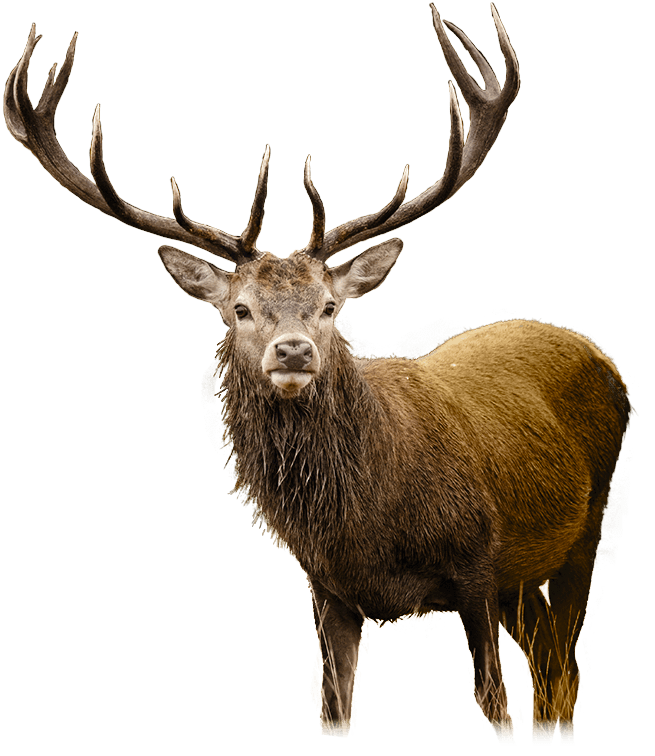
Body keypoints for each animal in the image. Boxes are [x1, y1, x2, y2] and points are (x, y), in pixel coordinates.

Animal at [6, 4, 633, 745]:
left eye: (331, 306)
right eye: (239, 308)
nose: (294, 351)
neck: (367, 525)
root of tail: (601, 359)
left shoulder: (479, 564)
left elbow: (492, 705)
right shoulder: (327, 589)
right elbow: (335, 706)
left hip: (585, 529)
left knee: (561, 674)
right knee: (550, 668)